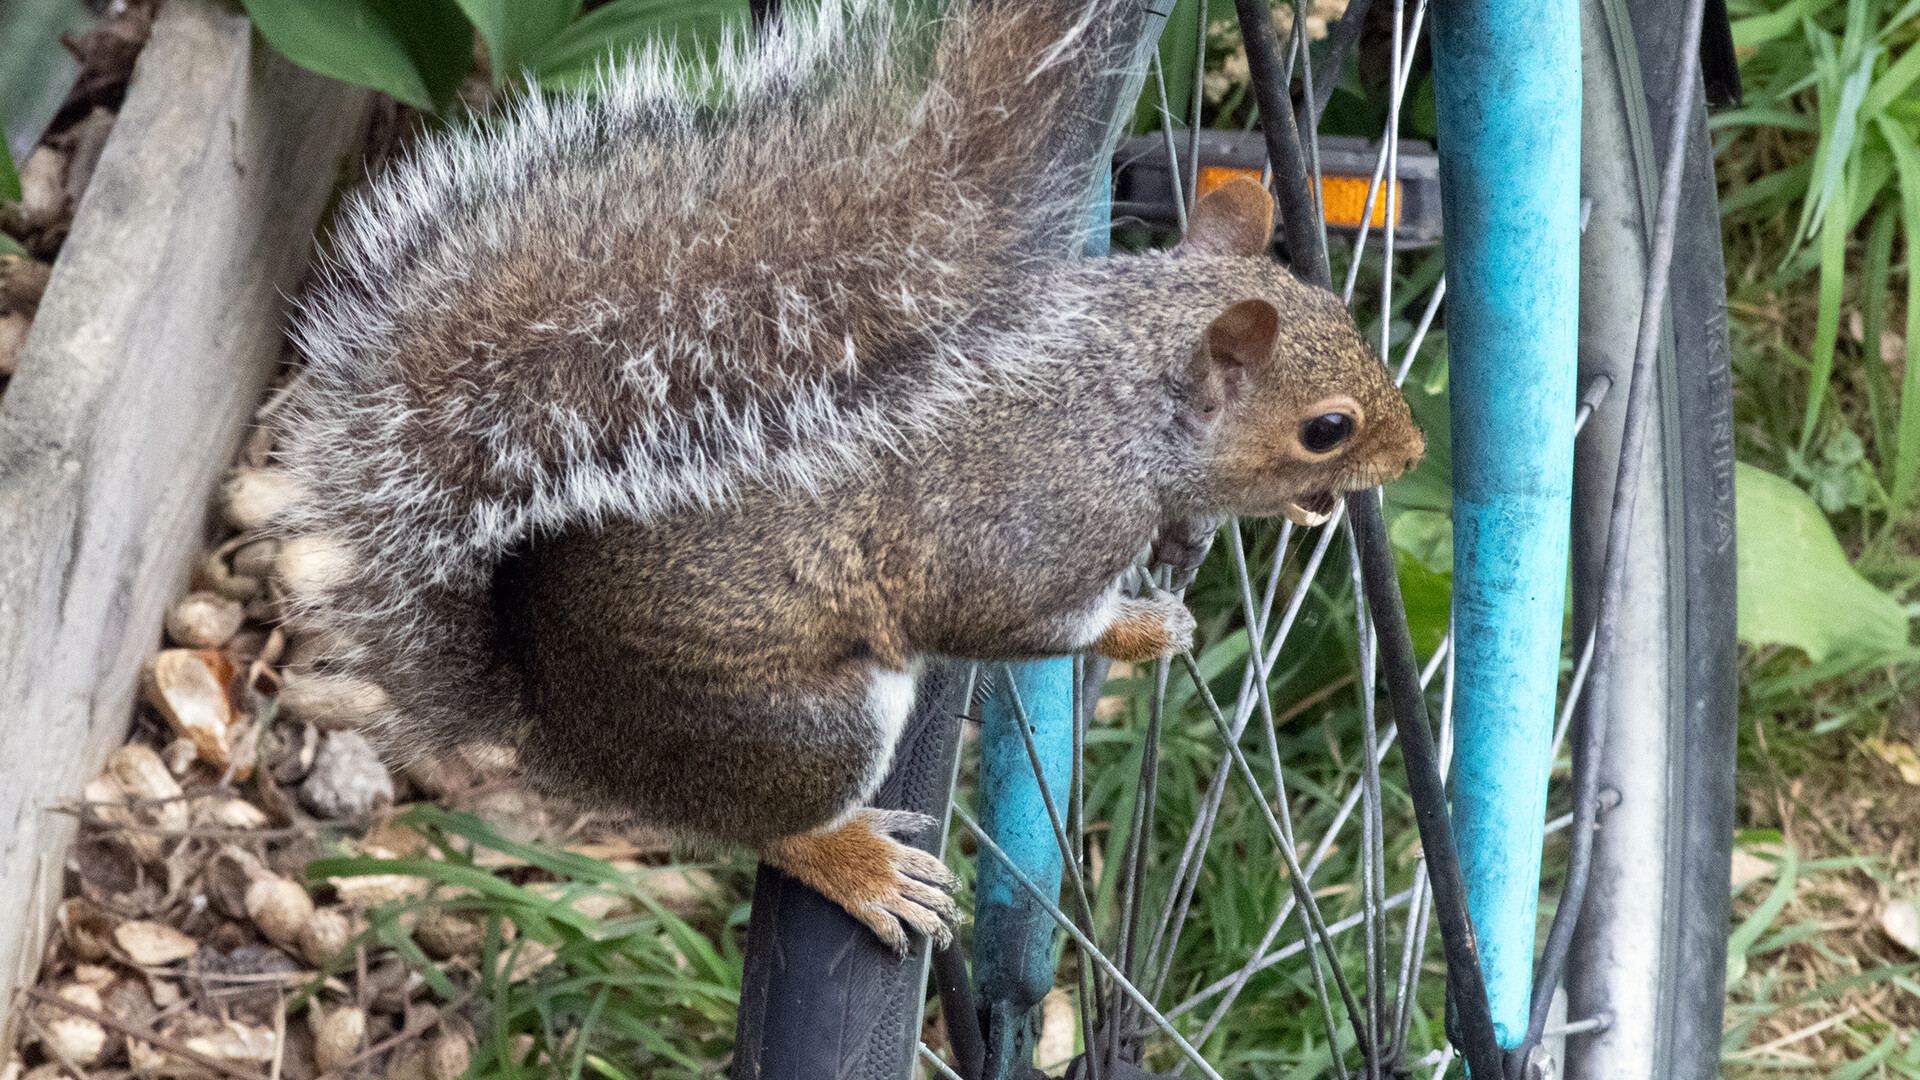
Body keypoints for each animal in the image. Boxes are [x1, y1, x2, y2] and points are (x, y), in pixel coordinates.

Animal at [270, 0, 1425, 951]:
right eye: (1327, 428)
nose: (1412, 453)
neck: (1121, 400)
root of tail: (553, 723)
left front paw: (1184, 547)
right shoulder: (1020, 534)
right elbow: (1018, 619)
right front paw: (1142, 628)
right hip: (806, 728)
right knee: (772, 828)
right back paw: (855, 864)